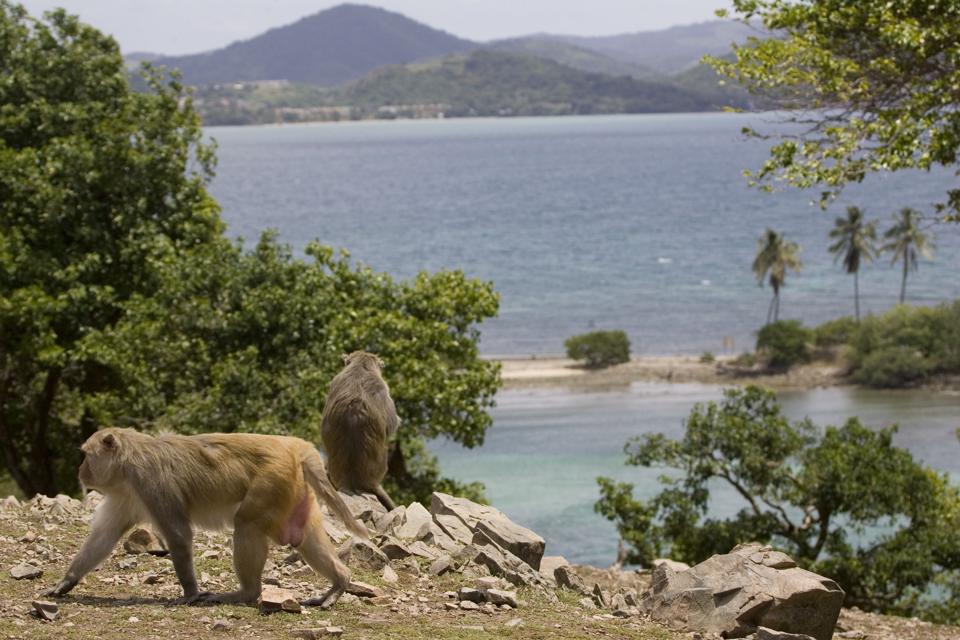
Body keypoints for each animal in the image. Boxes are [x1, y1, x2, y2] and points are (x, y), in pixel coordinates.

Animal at [45, 427, 368, 608]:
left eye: (86, 455)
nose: (81, 471)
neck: (127, 462)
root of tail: (296, 446)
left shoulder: (150, 483)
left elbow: (178, 535)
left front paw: (190, 592)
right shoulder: (126, 494)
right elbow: (104, 536)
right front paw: (67, 582)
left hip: (271, 482)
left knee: (247, 526)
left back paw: (246, 593)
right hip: (294, 491)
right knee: (304, 538)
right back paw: (340, 582)